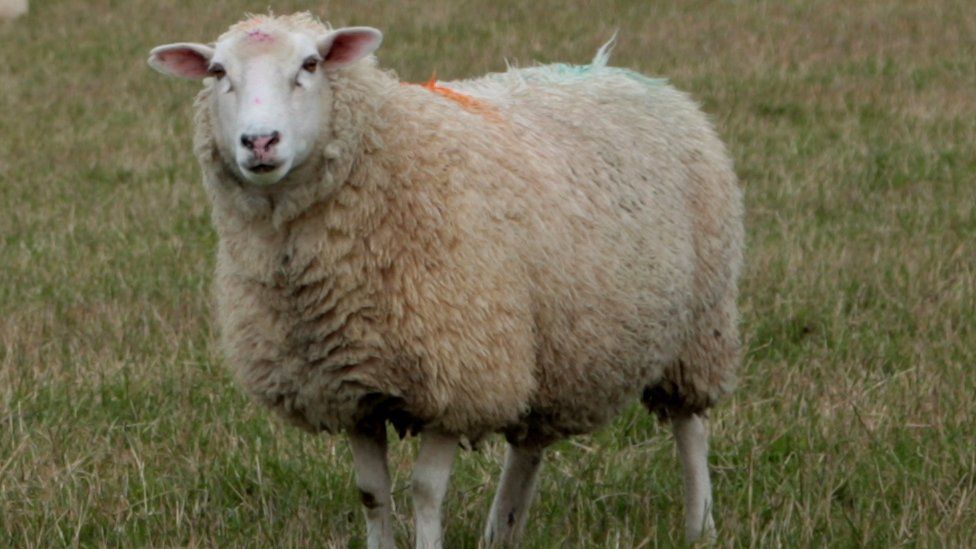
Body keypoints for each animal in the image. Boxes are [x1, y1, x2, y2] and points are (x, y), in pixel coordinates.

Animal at [149, 12, 743, 548]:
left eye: (310, 65)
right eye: (218, 71)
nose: (260, 142)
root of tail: (618, 71)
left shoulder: (456, 375)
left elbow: (425, 491)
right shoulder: (351, 385)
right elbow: (372, 492)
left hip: (700, 324)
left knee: (691, 428)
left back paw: (701, 526)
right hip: (543, 347)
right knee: (530, 442)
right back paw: (502, 532)